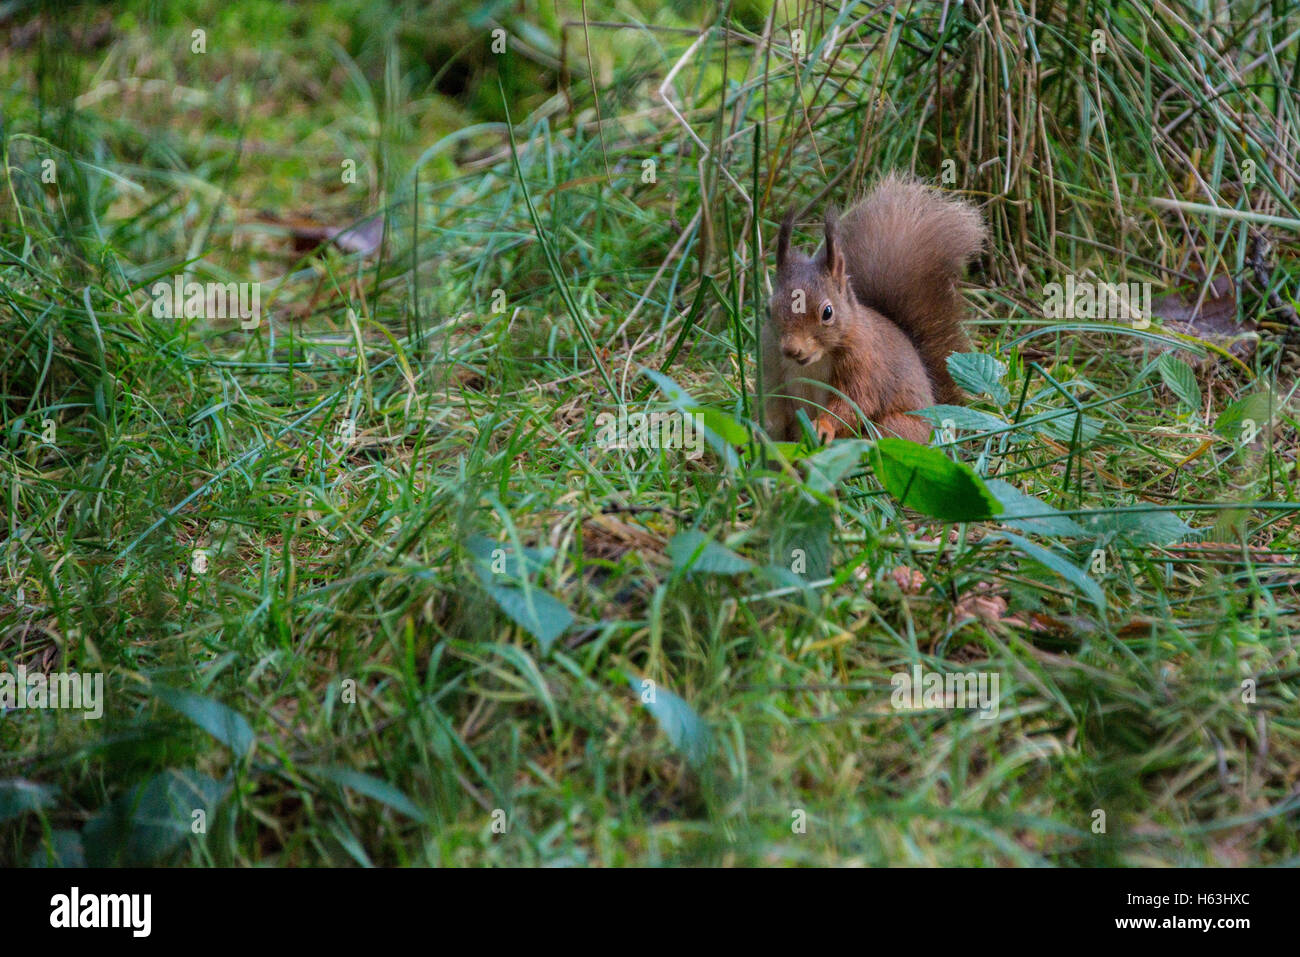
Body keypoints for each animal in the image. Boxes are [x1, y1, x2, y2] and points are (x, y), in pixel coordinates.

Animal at [762, 172, 987, 445]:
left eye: (827, 312)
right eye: (768, 309)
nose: (791, 350)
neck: (815, 361)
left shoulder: (866, 365)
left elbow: (854, 403)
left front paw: (822, 426)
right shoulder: (773, 365)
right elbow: (775, 410)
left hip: (896, 428)